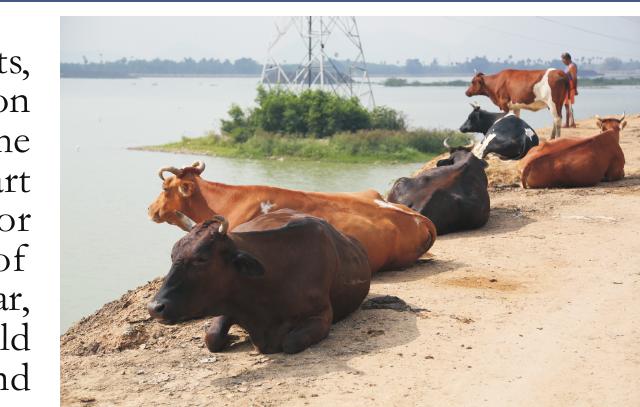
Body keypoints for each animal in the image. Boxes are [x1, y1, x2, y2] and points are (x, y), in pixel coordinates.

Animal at [147, 210, 370, 354]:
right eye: (172, 254)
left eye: (201, 258)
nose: (154, 307)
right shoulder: (227, 306)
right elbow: (212, 338)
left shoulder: (322, 315)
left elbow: (291, 342)